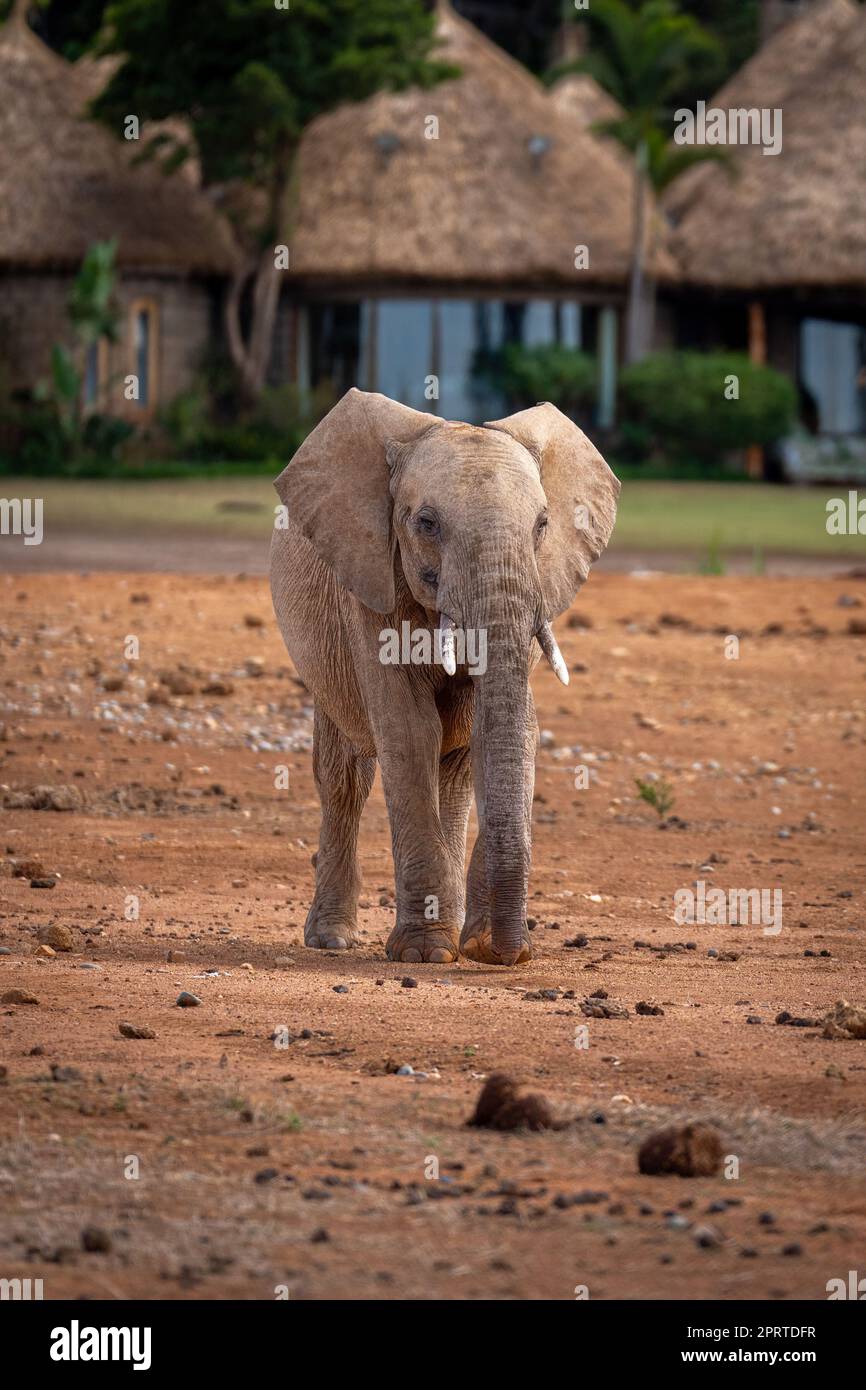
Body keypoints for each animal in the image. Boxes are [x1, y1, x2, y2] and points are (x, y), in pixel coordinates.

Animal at [270, 388, 619, 966]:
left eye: (543, 524)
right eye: (427, 523)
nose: (504, 953)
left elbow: (504, 731)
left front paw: (479, 946)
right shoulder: (372, 582)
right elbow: (410, 732)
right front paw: (425, 955)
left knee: (453, 770)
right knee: (344, 776)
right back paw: (333, 940)